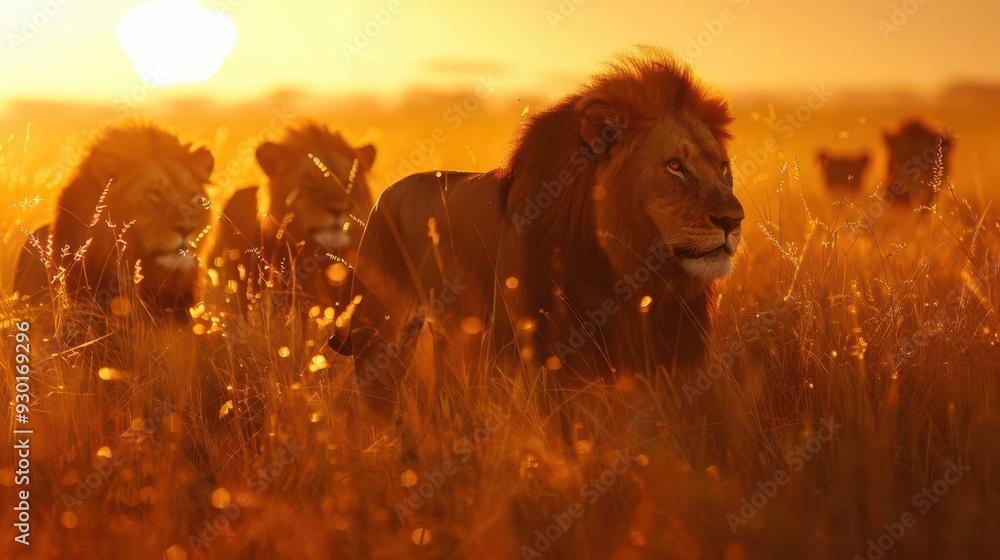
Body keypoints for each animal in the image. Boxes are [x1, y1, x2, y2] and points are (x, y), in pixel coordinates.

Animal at [330, 46, 744, 424]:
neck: (626, 271)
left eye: (724, 167)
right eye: (674, 166)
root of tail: (385, 193)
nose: (734, 219)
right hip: (380, 338)